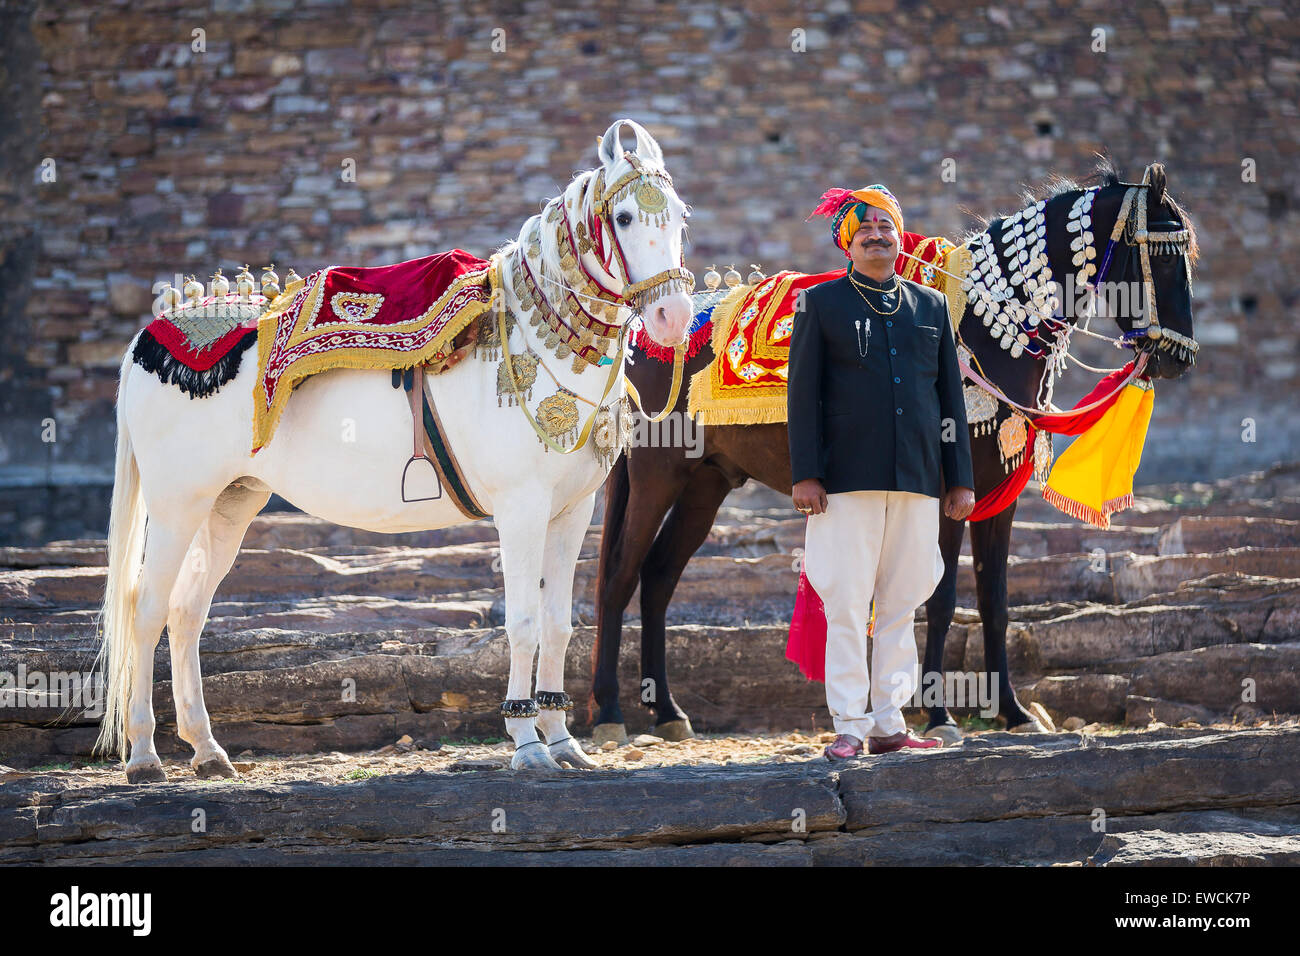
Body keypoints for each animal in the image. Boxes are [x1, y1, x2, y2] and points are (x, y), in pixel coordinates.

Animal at [95, 119, 694, 782]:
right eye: (623, 216)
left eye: (681, 217)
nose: (673, 318)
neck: (536, 344)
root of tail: (149, 335)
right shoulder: (521, 510)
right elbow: (522, 624)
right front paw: (527, 744)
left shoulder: (571, 513)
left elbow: (560, 624)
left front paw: (564, 741)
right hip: (177, 502)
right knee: (147, 608)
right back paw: (145, 755)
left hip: (230, 501)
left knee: (186, 613)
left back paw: (207, 748)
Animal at [590, 161, 1199, 745]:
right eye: (1164, 259)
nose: (1178, 360)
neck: (983, 330)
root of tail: (645, 330)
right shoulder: (947, 493)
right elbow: (942, 597)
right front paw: (939, 716)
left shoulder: (997, 497)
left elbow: (995, 601)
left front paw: (1013, 711)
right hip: (658, 472)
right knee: (620, 573)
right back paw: (609, 712)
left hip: (706, 482)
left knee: (658, 577)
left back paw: (667, 712)